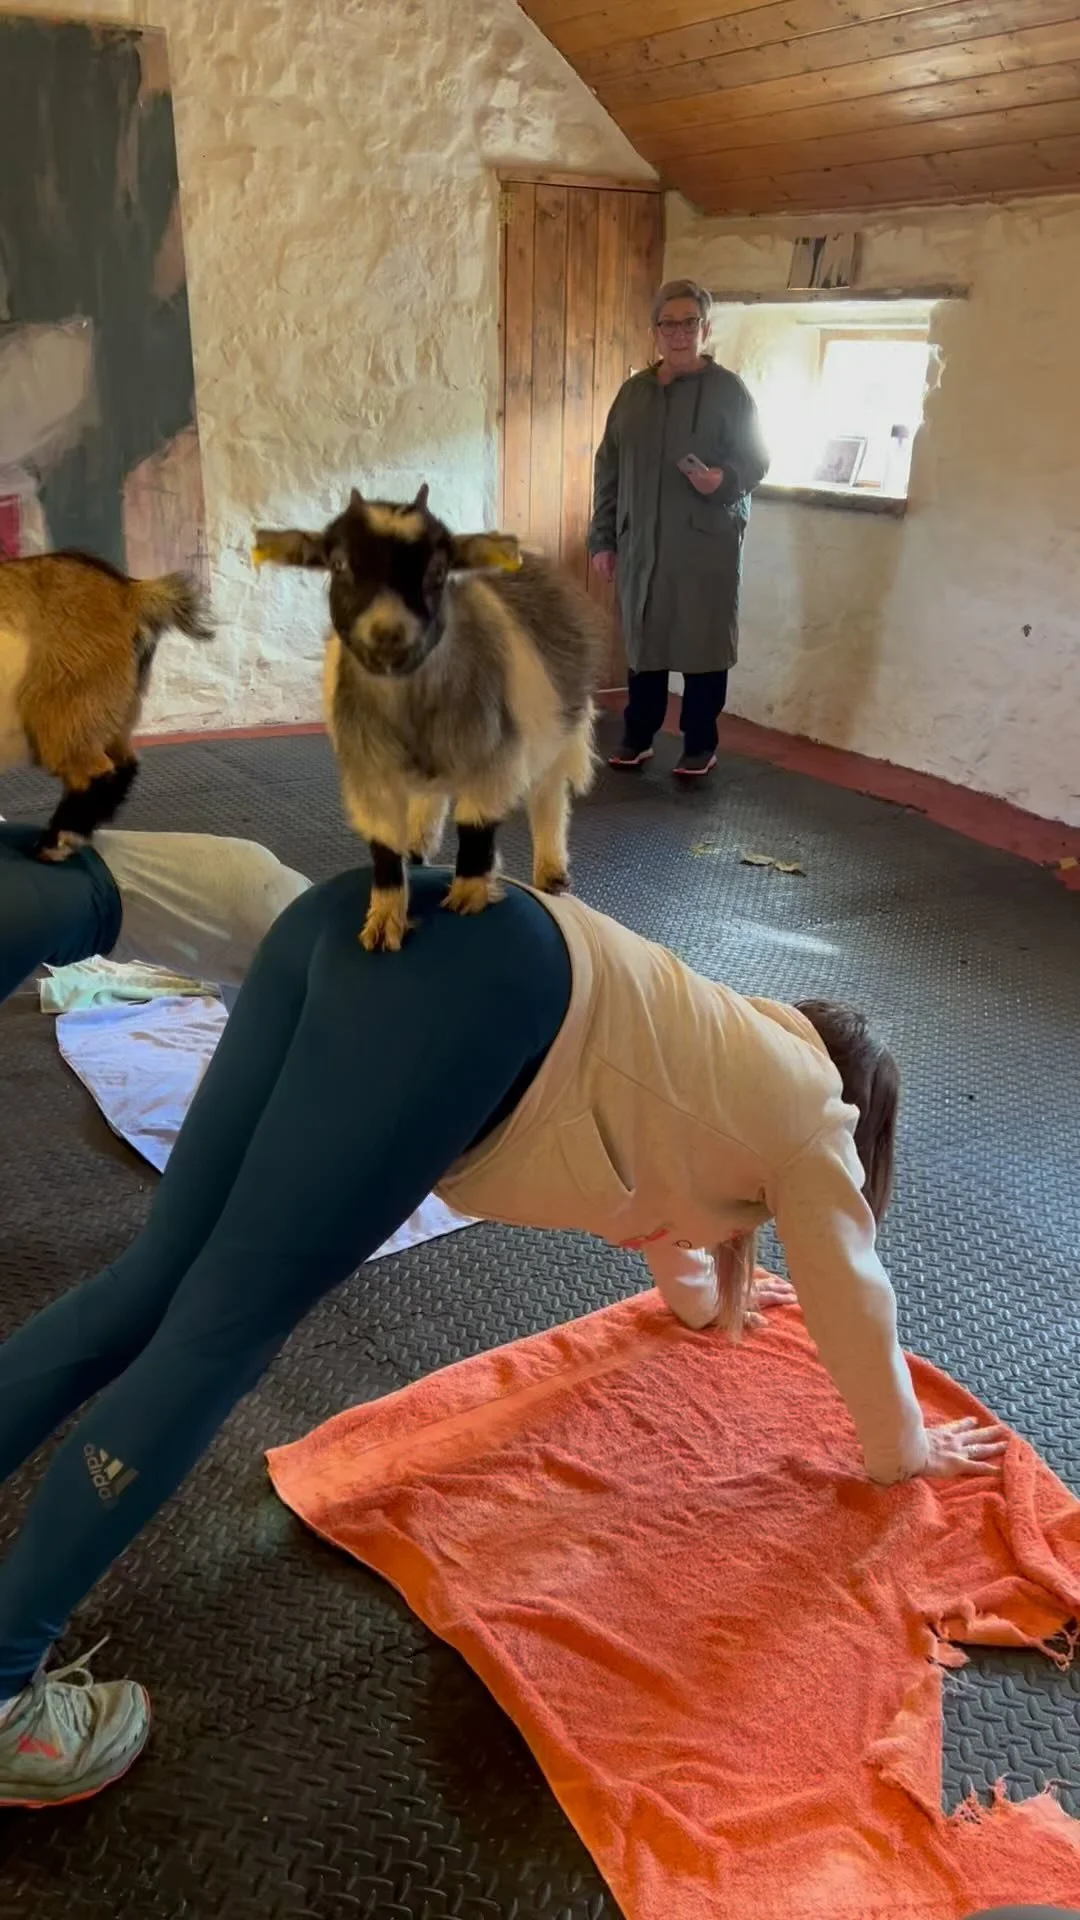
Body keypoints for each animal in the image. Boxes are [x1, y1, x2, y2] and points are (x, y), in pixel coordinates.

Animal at [0, 551, 213, 859]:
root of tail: (130, 592)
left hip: (67, 704)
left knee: (92, 769)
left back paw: (56, 842)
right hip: (116, 707)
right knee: (124, 763)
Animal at [253, 485, 600, 951]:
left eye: (438, 570)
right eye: (339, 564)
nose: (388, 634)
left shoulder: (493, 757)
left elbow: (476, 826)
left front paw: (470, 892)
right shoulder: (371, 771)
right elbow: (384, 845)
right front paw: (384, 918)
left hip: (558, 729)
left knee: (549, 797)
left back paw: (551, 871)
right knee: (430, 798)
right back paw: (419, 844)